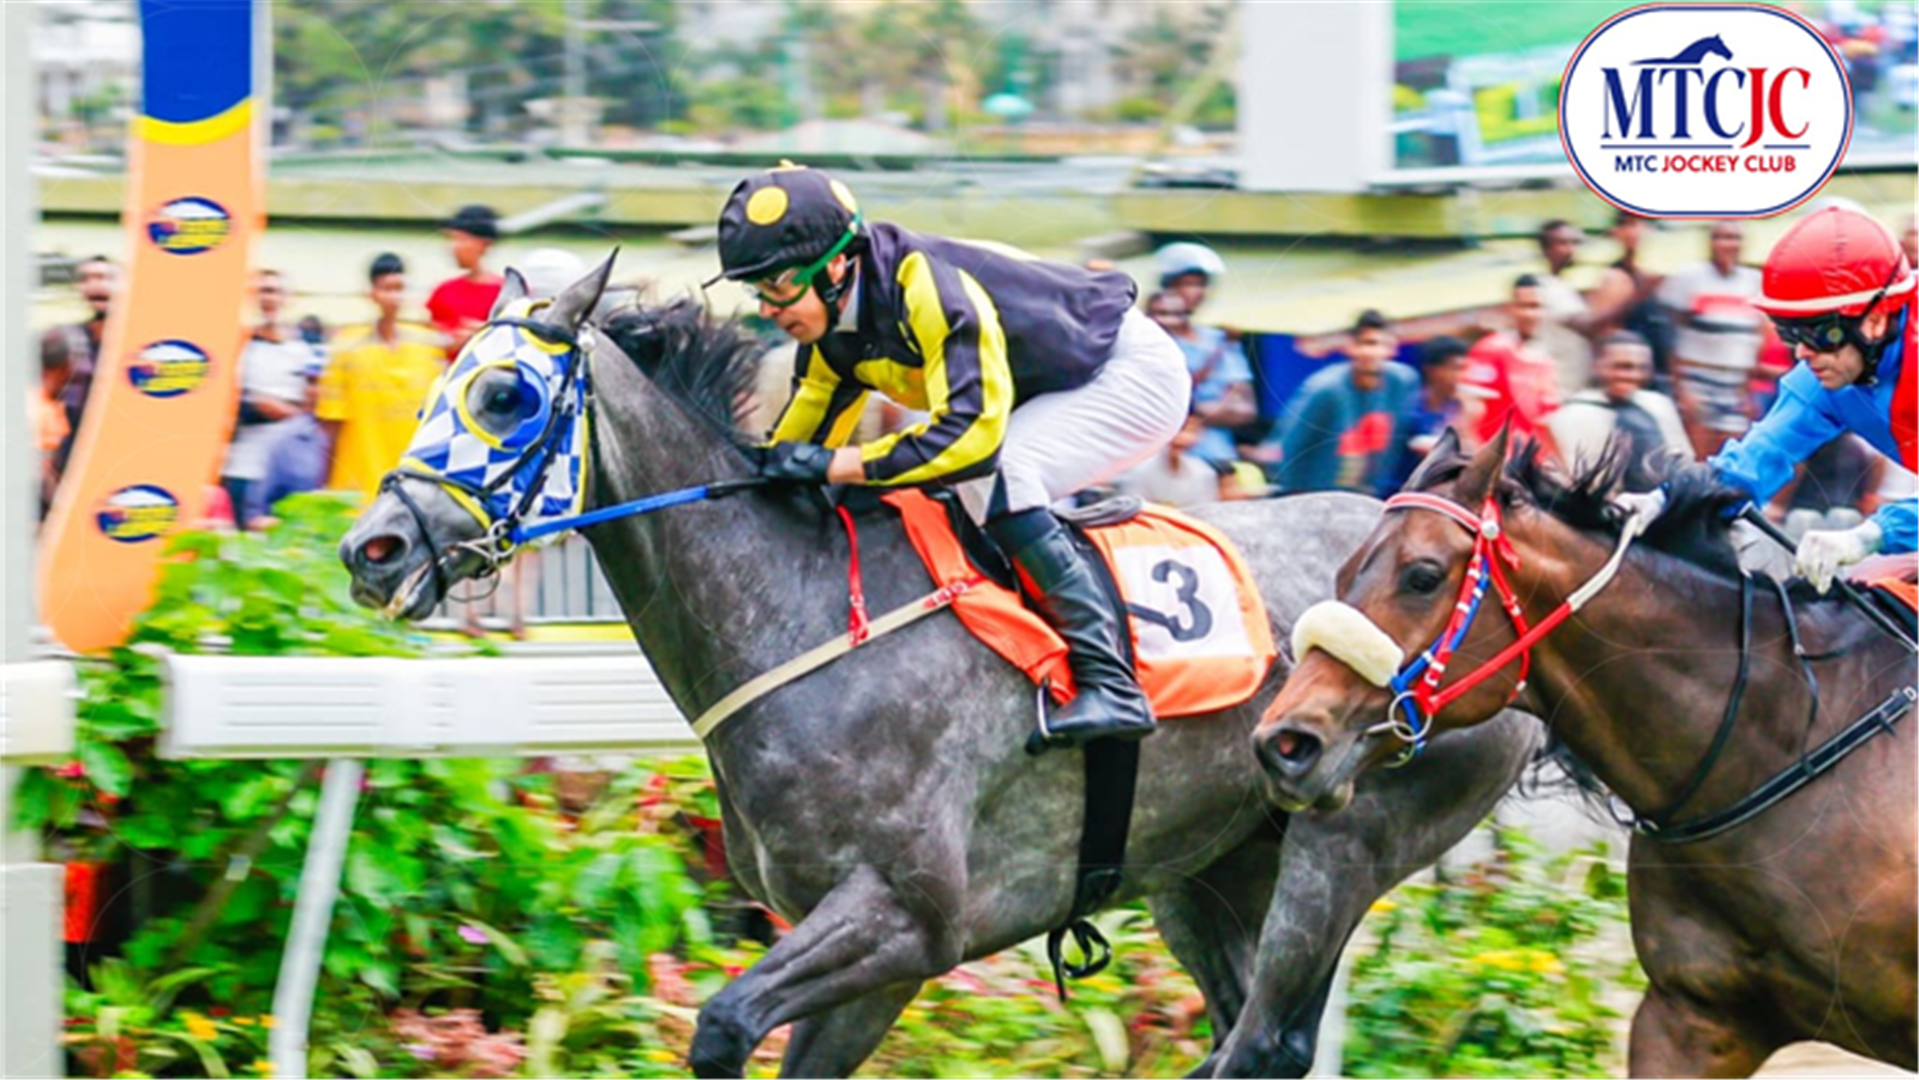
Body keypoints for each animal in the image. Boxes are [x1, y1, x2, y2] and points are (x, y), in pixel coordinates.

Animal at [338, 258, 1543, 1079]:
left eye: (505, 397)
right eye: (440, 382)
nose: (372, 550)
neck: (801, 615)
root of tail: (1490, 558)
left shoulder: (906, 920)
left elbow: (723, 1027)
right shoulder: (865, 948)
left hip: (1343, 840)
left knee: (1265, 1041)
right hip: (1211, 869)